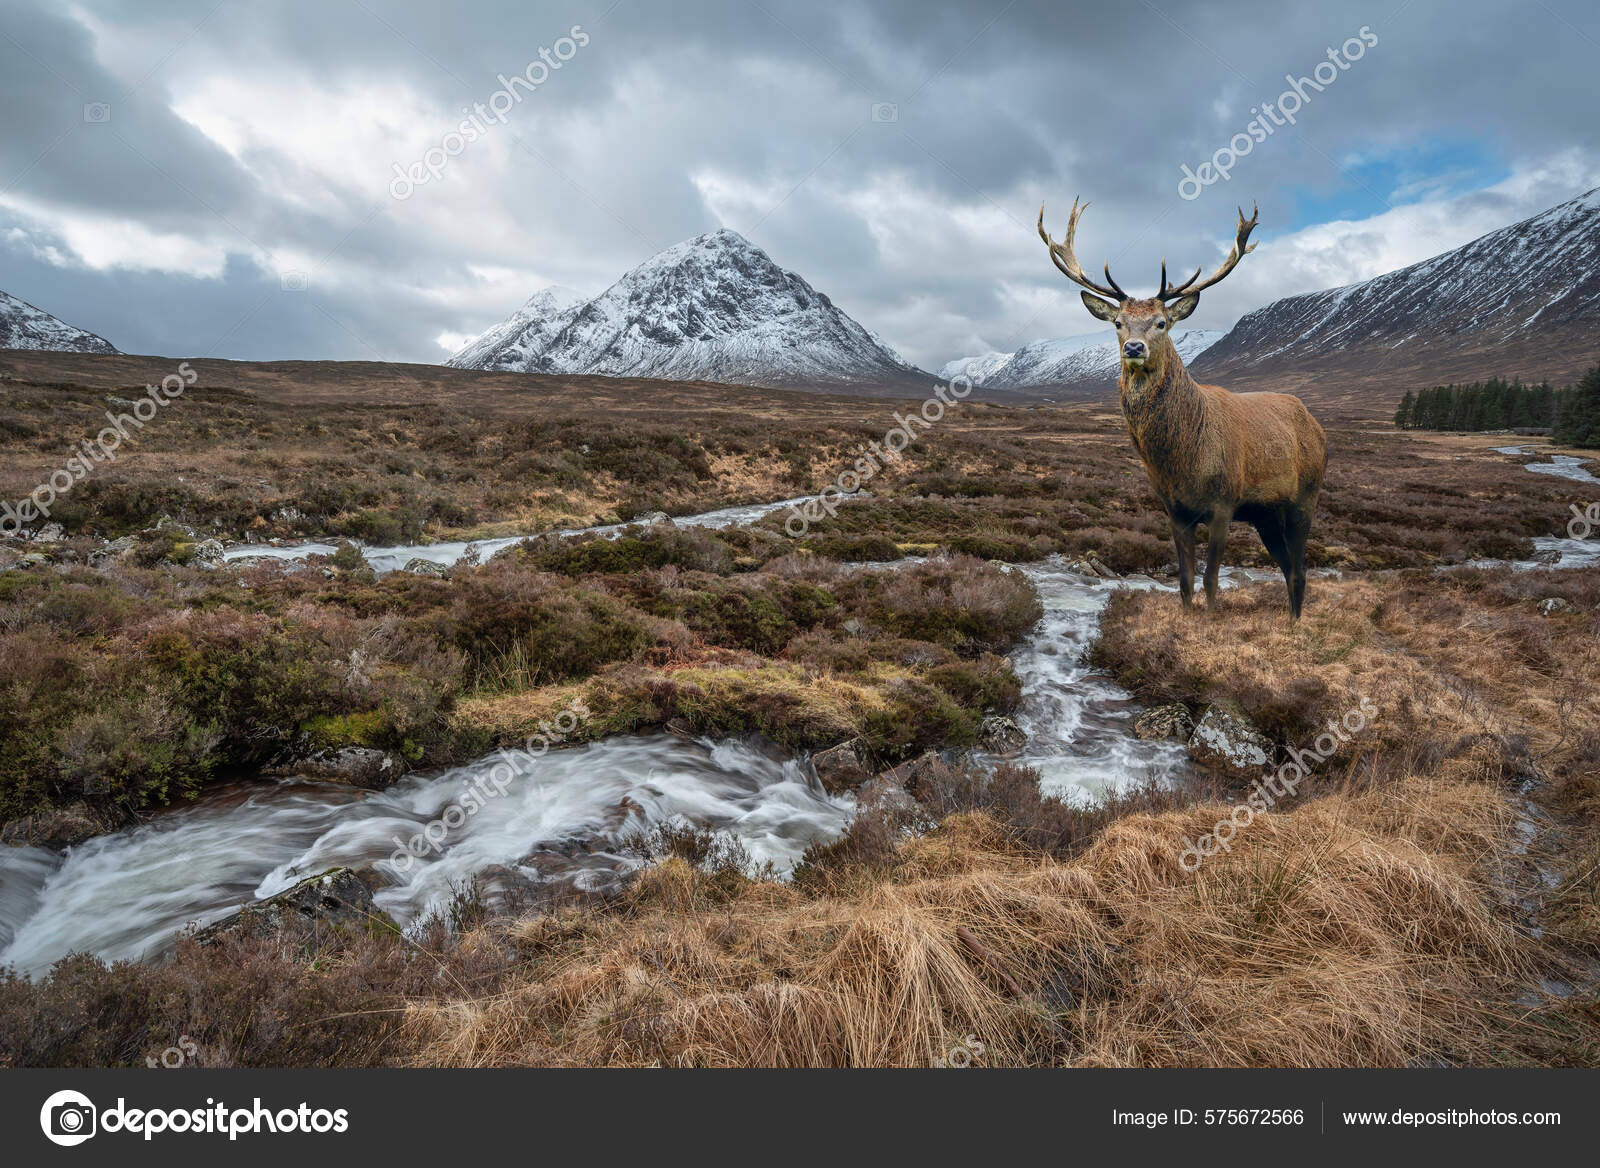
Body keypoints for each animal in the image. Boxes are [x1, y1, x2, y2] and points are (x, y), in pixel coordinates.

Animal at [1038, 199, 1326, 618]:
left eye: (1161, 322)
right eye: (1118, 323)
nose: (1134, 347)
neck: (1182, 461)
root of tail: (1317, 426)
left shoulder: (1224, 502)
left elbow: (1210, 579)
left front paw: (1211, 620)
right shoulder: (1174, 510)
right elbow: (1185, 580)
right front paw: (1189, 617)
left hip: (1305, 496)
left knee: (1301, 568)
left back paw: (1295, 623)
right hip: (1266, 515)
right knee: (1288, 567)